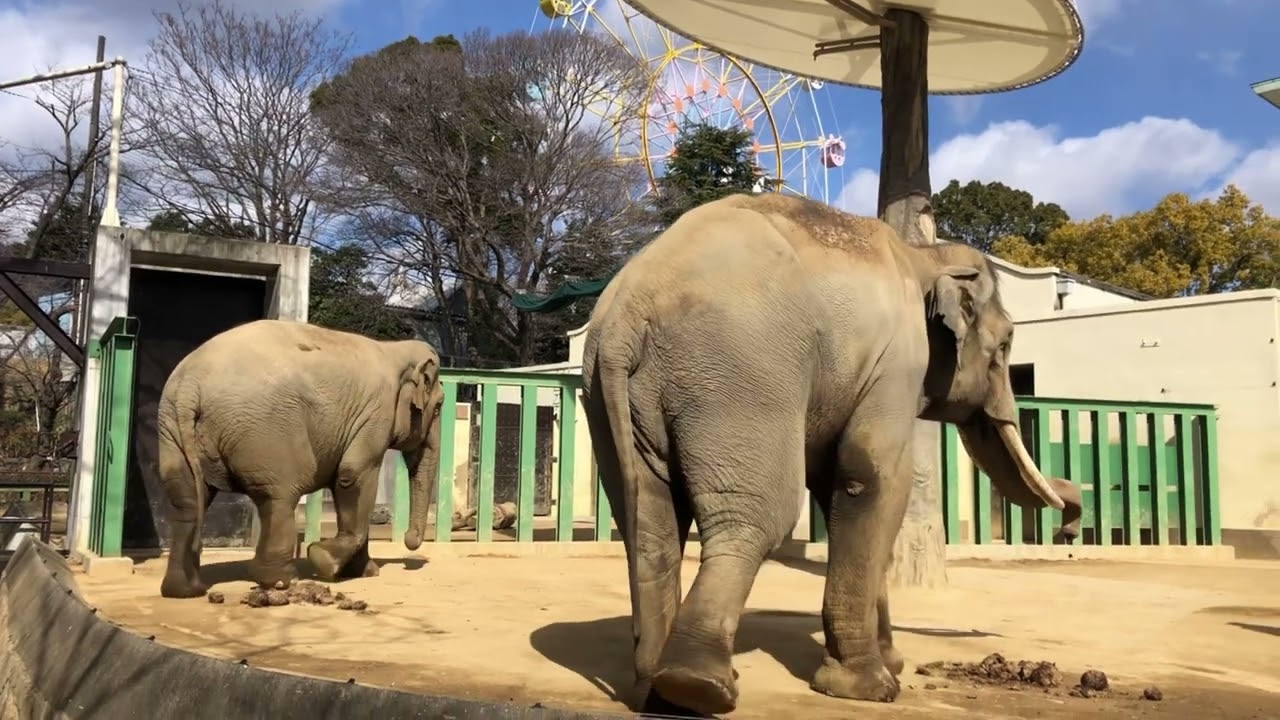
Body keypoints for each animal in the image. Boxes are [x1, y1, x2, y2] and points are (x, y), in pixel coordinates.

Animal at [155, 319, 444, 599]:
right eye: (439, 406)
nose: (409, 540)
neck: (395, 350)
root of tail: (190, 385)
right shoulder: (375, 414)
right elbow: (353, 475)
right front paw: (323, 559)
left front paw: (364, 572)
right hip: (266, 432)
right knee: (279, 496)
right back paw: (279, 581)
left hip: (171, 429)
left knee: (187, 501)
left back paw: (185, 591)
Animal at [579, 192, 1083, 716]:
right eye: (1005, 343)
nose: (1068, 532)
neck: (923, 256)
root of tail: (628, 312)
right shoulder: (895, 363)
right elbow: (874, 479)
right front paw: (873, 688)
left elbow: (839, 485)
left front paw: (890, 665)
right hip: (740, 381)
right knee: (756, 519)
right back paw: (698, 688)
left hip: (613, 393)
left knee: (649, 525)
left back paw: (654, 690)